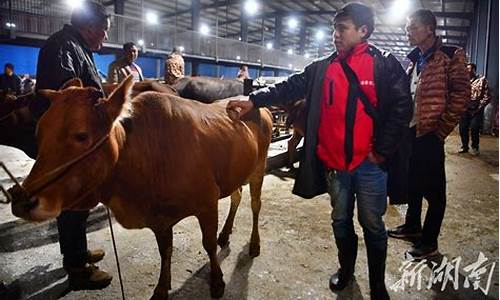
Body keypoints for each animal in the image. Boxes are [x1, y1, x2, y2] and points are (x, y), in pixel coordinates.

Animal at [8, 74, 274, 298]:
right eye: (38, 133)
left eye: (81, 135)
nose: (22, 200)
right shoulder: (160, 218)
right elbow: (165, 251)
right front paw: (161, 288)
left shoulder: (207, 203)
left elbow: (207, 244)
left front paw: (217, 281)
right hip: (236, 173)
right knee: (236, 196)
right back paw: (226, 233)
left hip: (258, 169)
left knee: (255, 204)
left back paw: (254, 244)